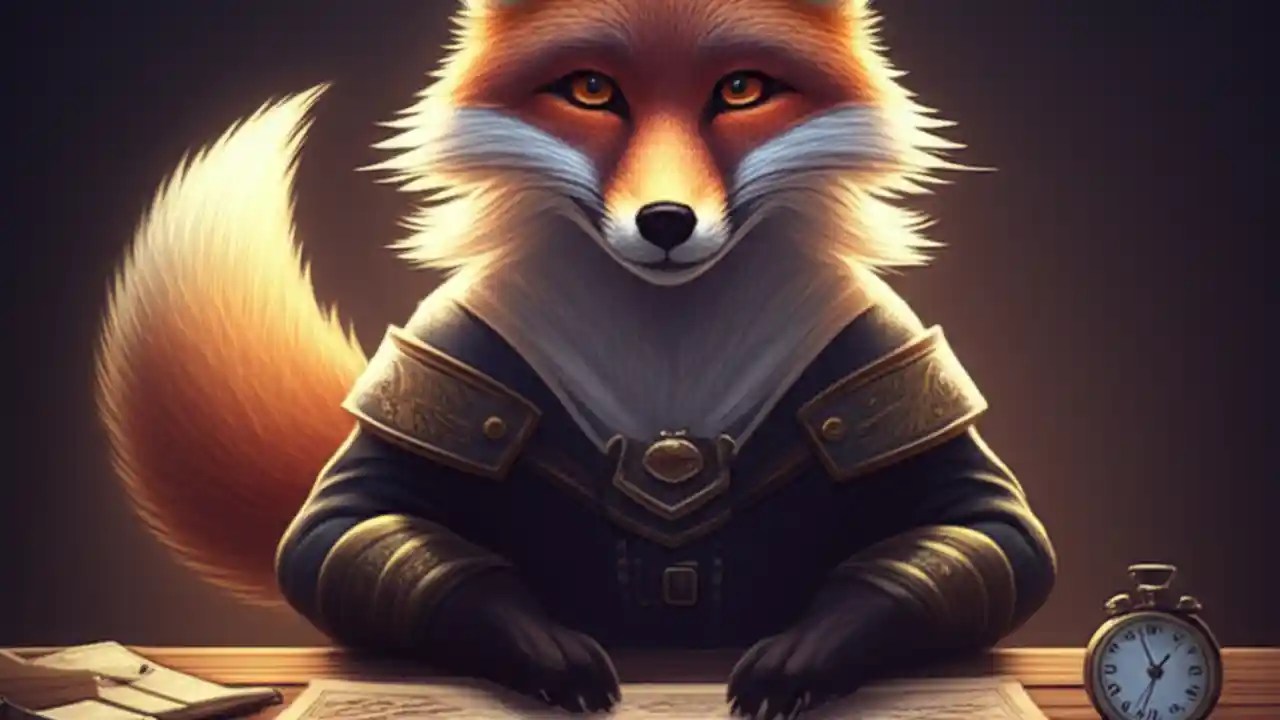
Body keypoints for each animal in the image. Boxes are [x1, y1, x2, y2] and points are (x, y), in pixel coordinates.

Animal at [96, 0, 1056, 717]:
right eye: (592, 90)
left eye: (741, 89)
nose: (666, 223)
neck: (670, 339)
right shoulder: (447, 359)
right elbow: (343, 532)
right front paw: (544, 648)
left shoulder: (882, 361)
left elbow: (989, 535)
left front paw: (802, 654)